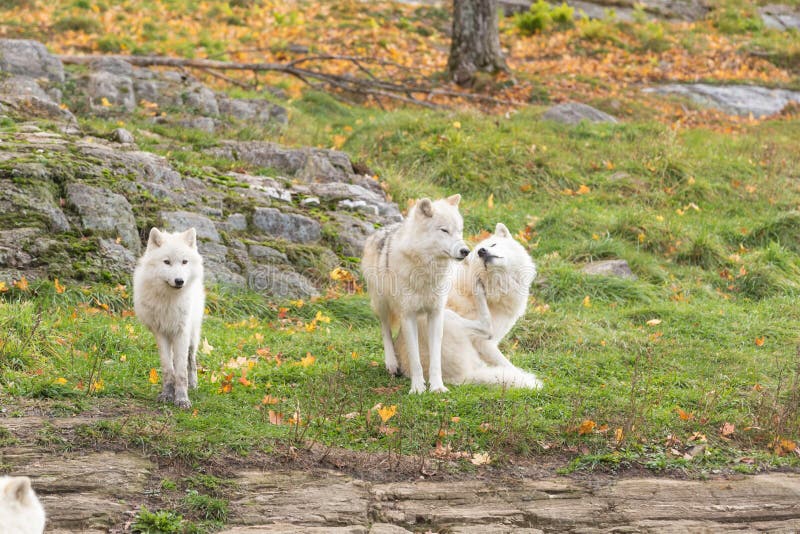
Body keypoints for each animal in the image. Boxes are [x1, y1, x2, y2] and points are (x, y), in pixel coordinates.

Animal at [133, 228, 205, 409]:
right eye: (167, 262)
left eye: (184, 262)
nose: (179, 281)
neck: (169, 300)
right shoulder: (160, 333)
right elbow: (168, 369)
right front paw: (167, 394)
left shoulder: (182, 333)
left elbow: (181, 371)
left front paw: (182, 399)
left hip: (192, 337)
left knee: (191, 361)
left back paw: (193, 385)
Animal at [362, 195, 470, 394]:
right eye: (444, 230)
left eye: (460, 231)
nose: (465, 251)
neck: (426, 271)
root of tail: (381, 230)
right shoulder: (408, 315)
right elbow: (415, 359)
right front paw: (418, 388)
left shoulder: (435, 314)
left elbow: (435, 358)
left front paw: (437, 387)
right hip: (382, 304)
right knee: (385, 330)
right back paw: (392, 363)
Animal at [396, 223, 542, 389]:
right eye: (478, 257)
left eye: (493, 245)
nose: (481, 251)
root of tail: (464, 376)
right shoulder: (485, 344)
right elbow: (505, 363)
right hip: (445, 317)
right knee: (486, 327)